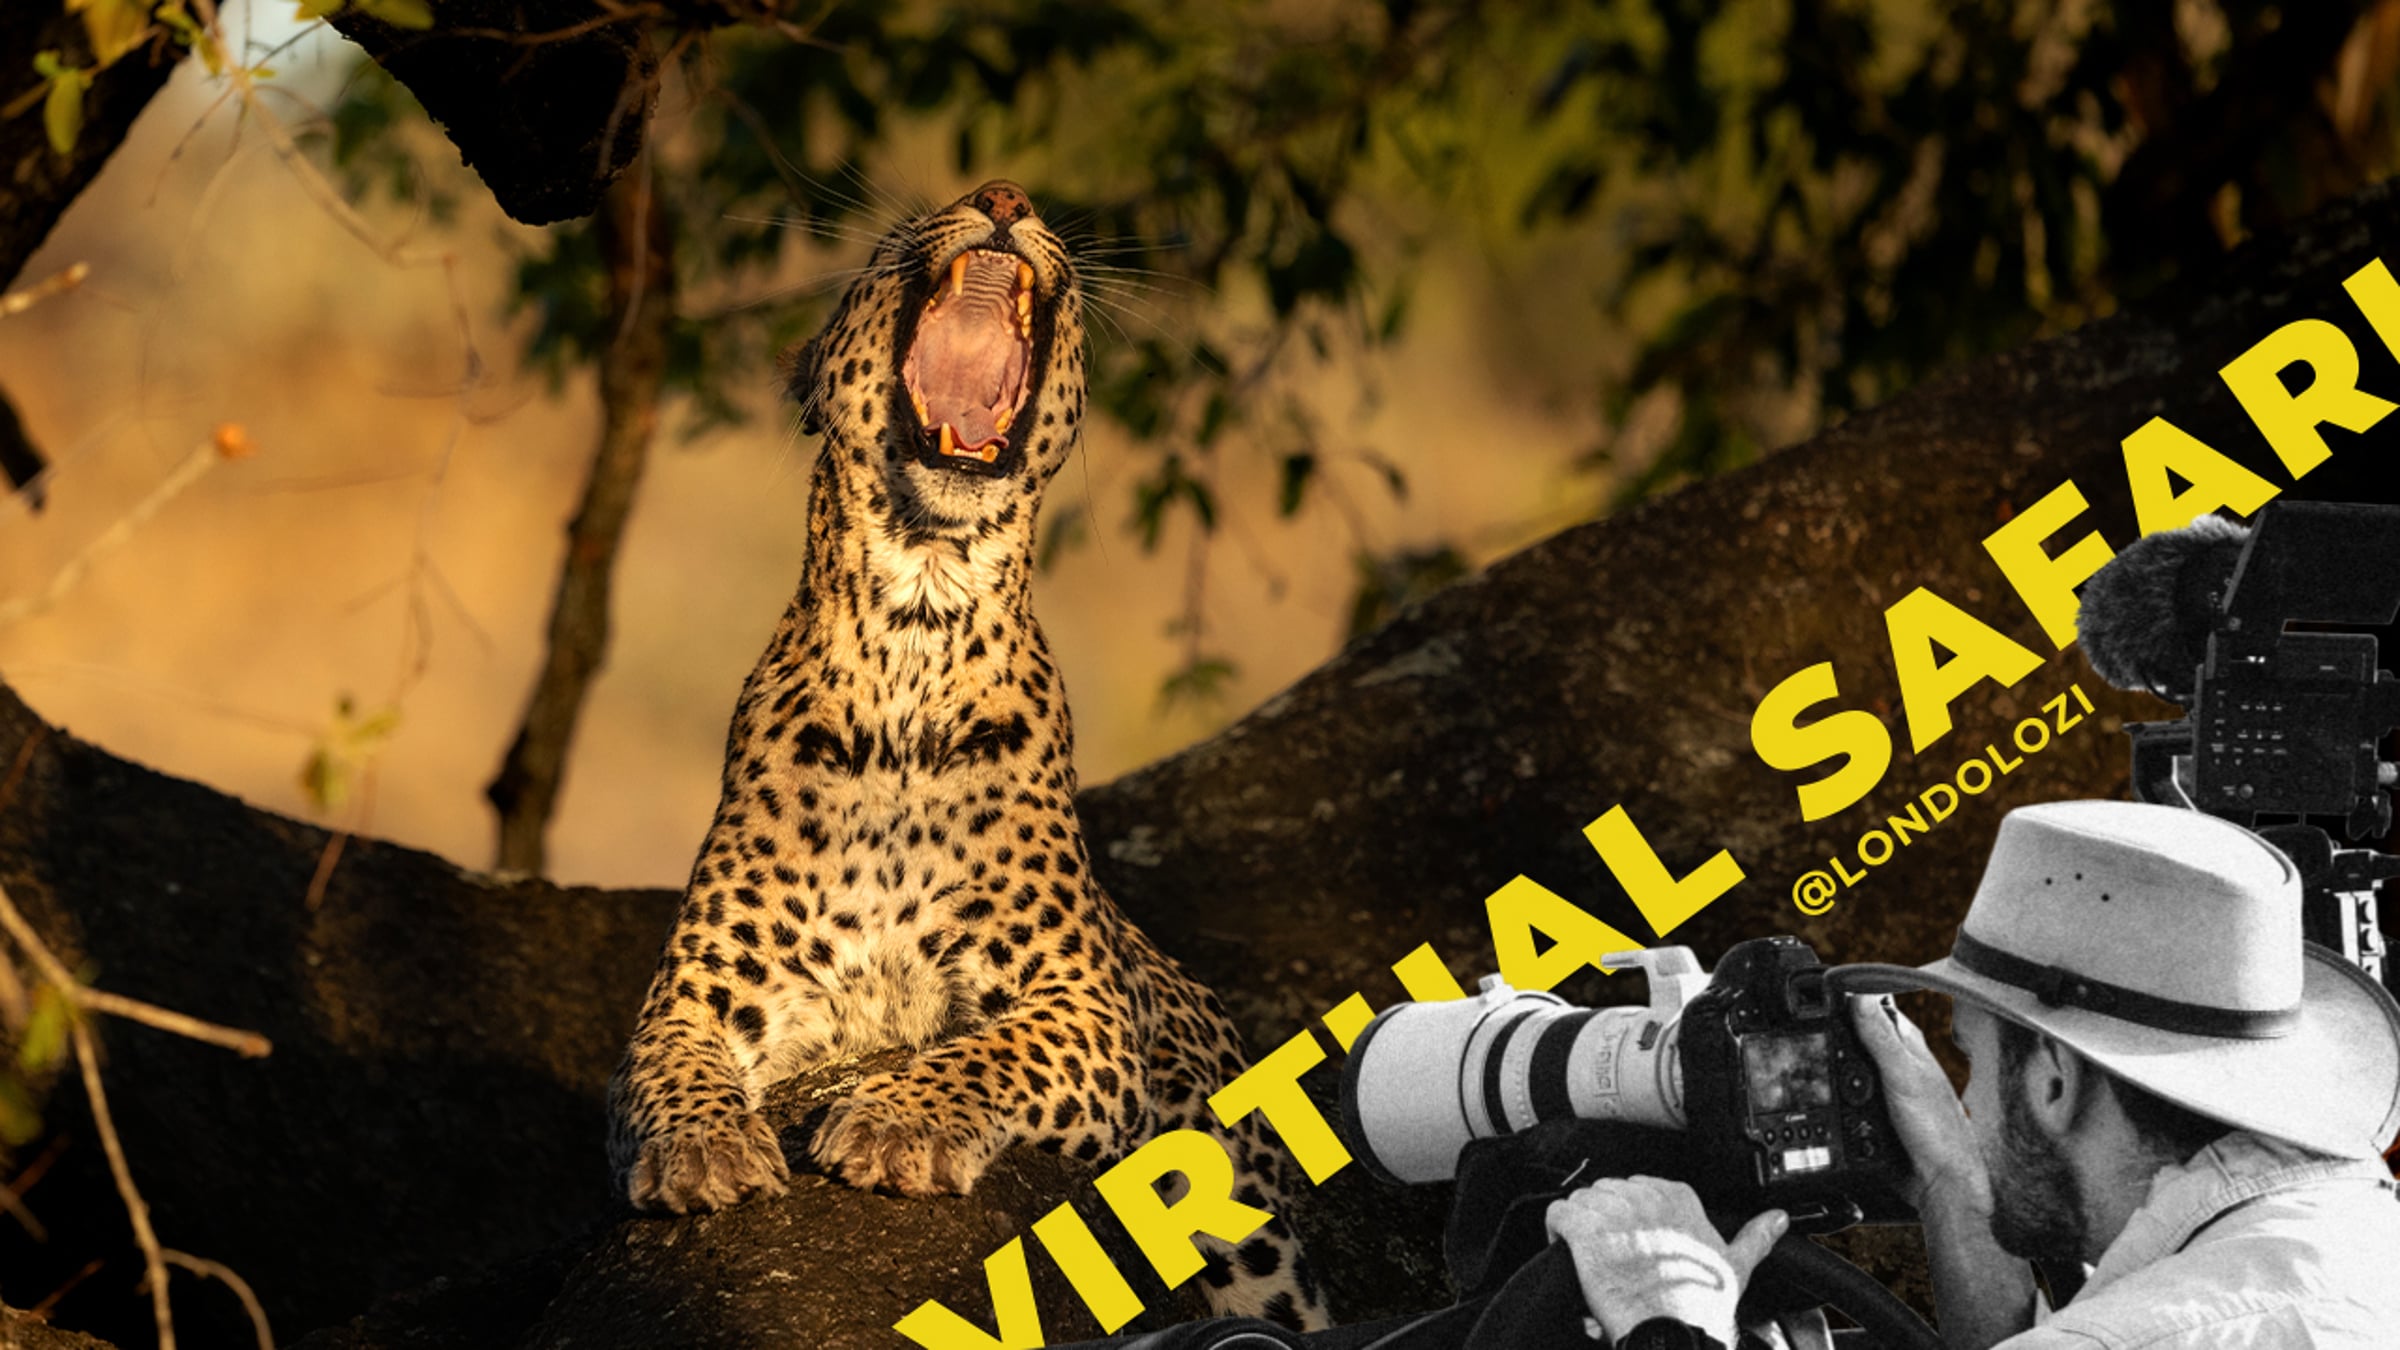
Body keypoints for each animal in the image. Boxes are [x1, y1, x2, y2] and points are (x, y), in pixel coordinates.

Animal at [606, 180, 1325, 1331]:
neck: (915, 622)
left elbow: (988, 1051)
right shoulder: (697, 992)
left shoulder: (1080, 1001)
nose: (1003, 196)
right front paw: (703, 1149)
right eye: (883, 252)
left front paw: (896, 1124)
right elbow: (669, 1069)